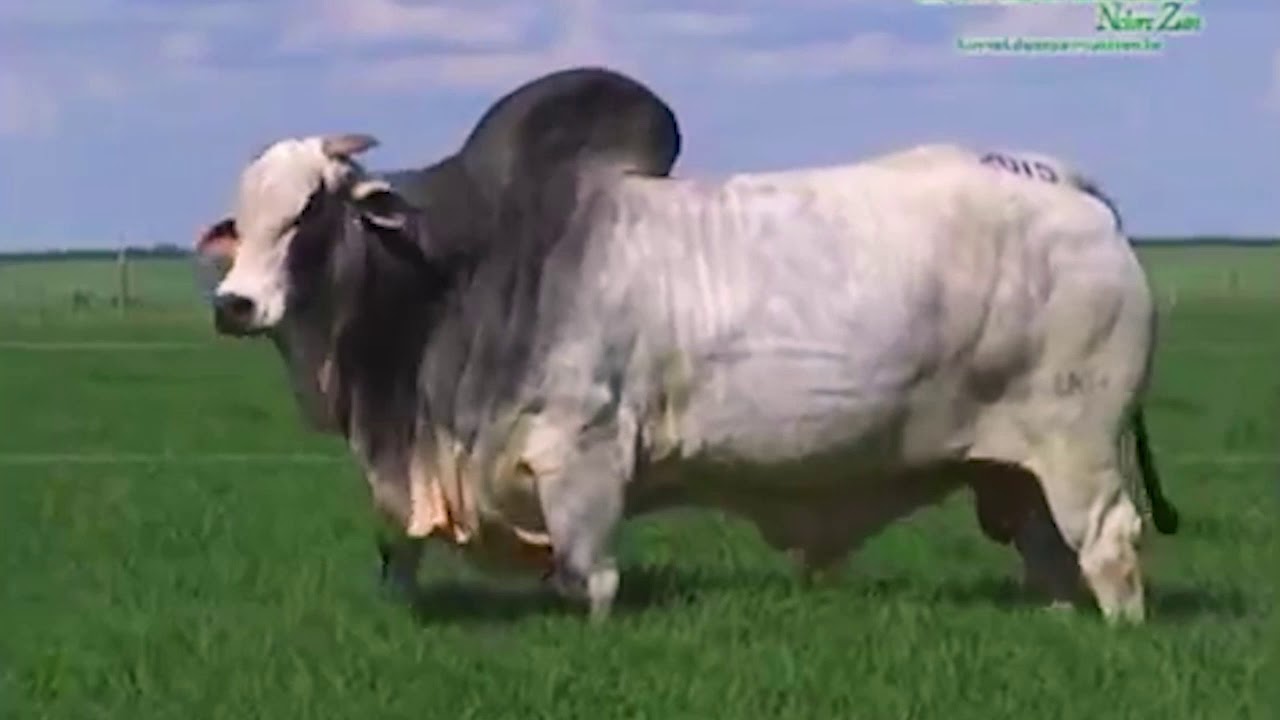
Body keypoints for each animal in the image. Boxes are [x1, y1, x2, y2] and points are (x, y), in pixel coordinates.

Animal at [195, 70, 1179, 625]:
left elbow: (587, 578)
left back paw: (1119, 635)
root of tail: (1071, 192)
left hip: (1079, 449)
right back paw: (1054, 623)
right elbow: (402, 554)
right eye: (240, 219)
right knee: (1047, 551)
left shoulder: (582, 455)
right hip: (1015, 468)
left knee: (1108, 541)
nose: (233, 304)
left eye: (310, 209)